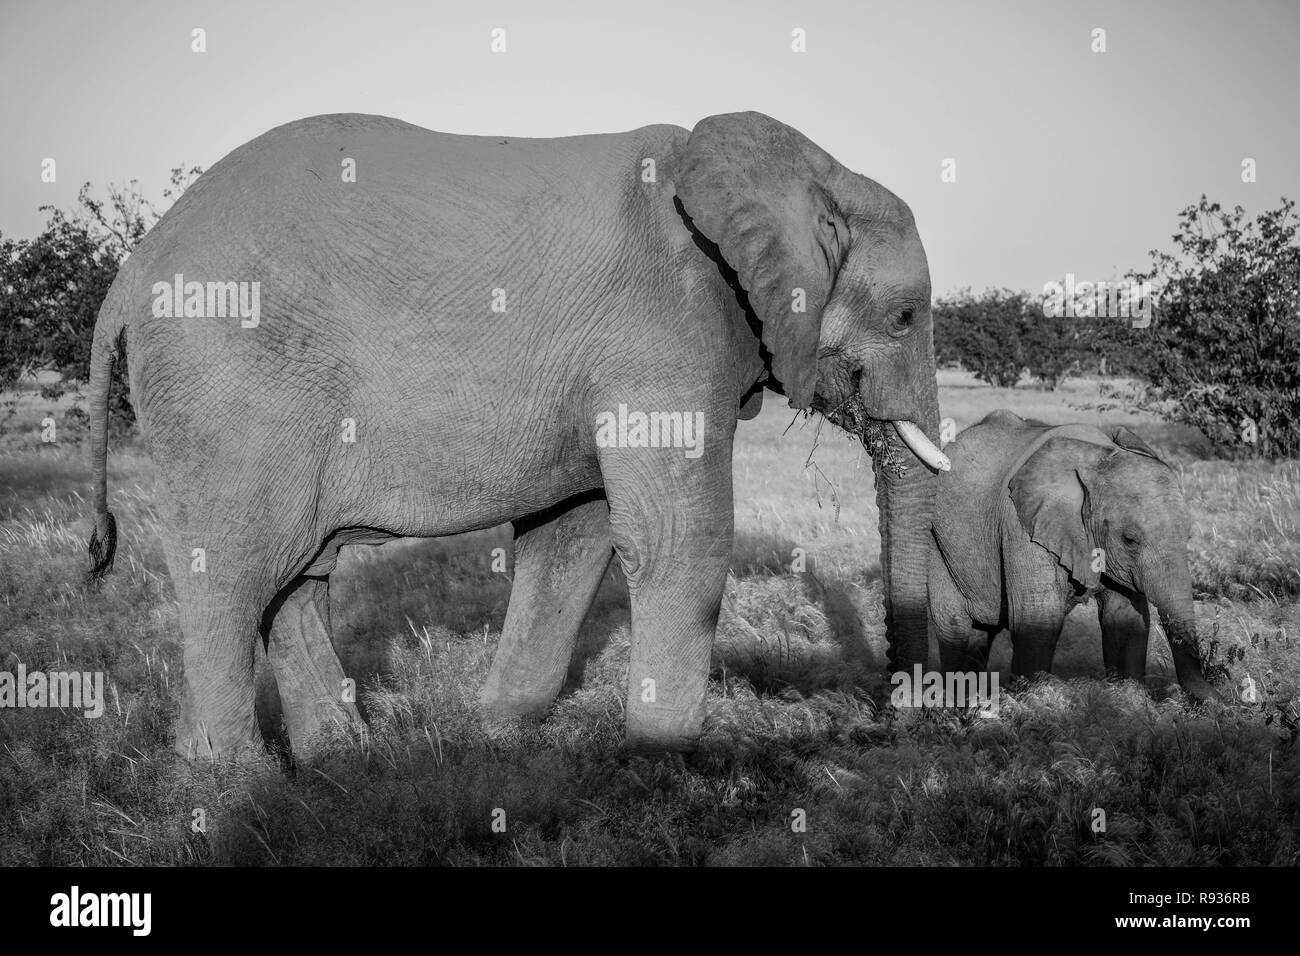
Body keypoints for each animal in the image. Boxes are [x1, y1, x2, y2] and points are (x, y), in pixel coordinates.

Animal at [85, 110, 949, 760]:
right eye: (906, 316)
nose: (894, 721)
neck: (808, 169)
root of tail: (130, 273)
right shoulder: (665, 330)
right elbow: (679, 539)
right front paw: (670, 757)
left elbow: (574, 536)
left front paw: (497, 735)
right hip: (226, 387)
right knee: (232, 573)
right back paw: (234, 786)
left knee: (296, 573)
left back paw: (338, 764)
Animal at [927, 409, 1218, 700]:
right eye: (1130, 540)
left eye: (1188, 536)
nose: (1219, 696)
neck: (1095, 456)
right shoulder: (1021, 526)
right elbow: (1038, 618)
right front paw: (1036, 701)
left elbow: (1125, 618)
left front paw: (1128, 700)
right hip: (937, 544)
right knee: (955, 626)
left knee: (980, 633)